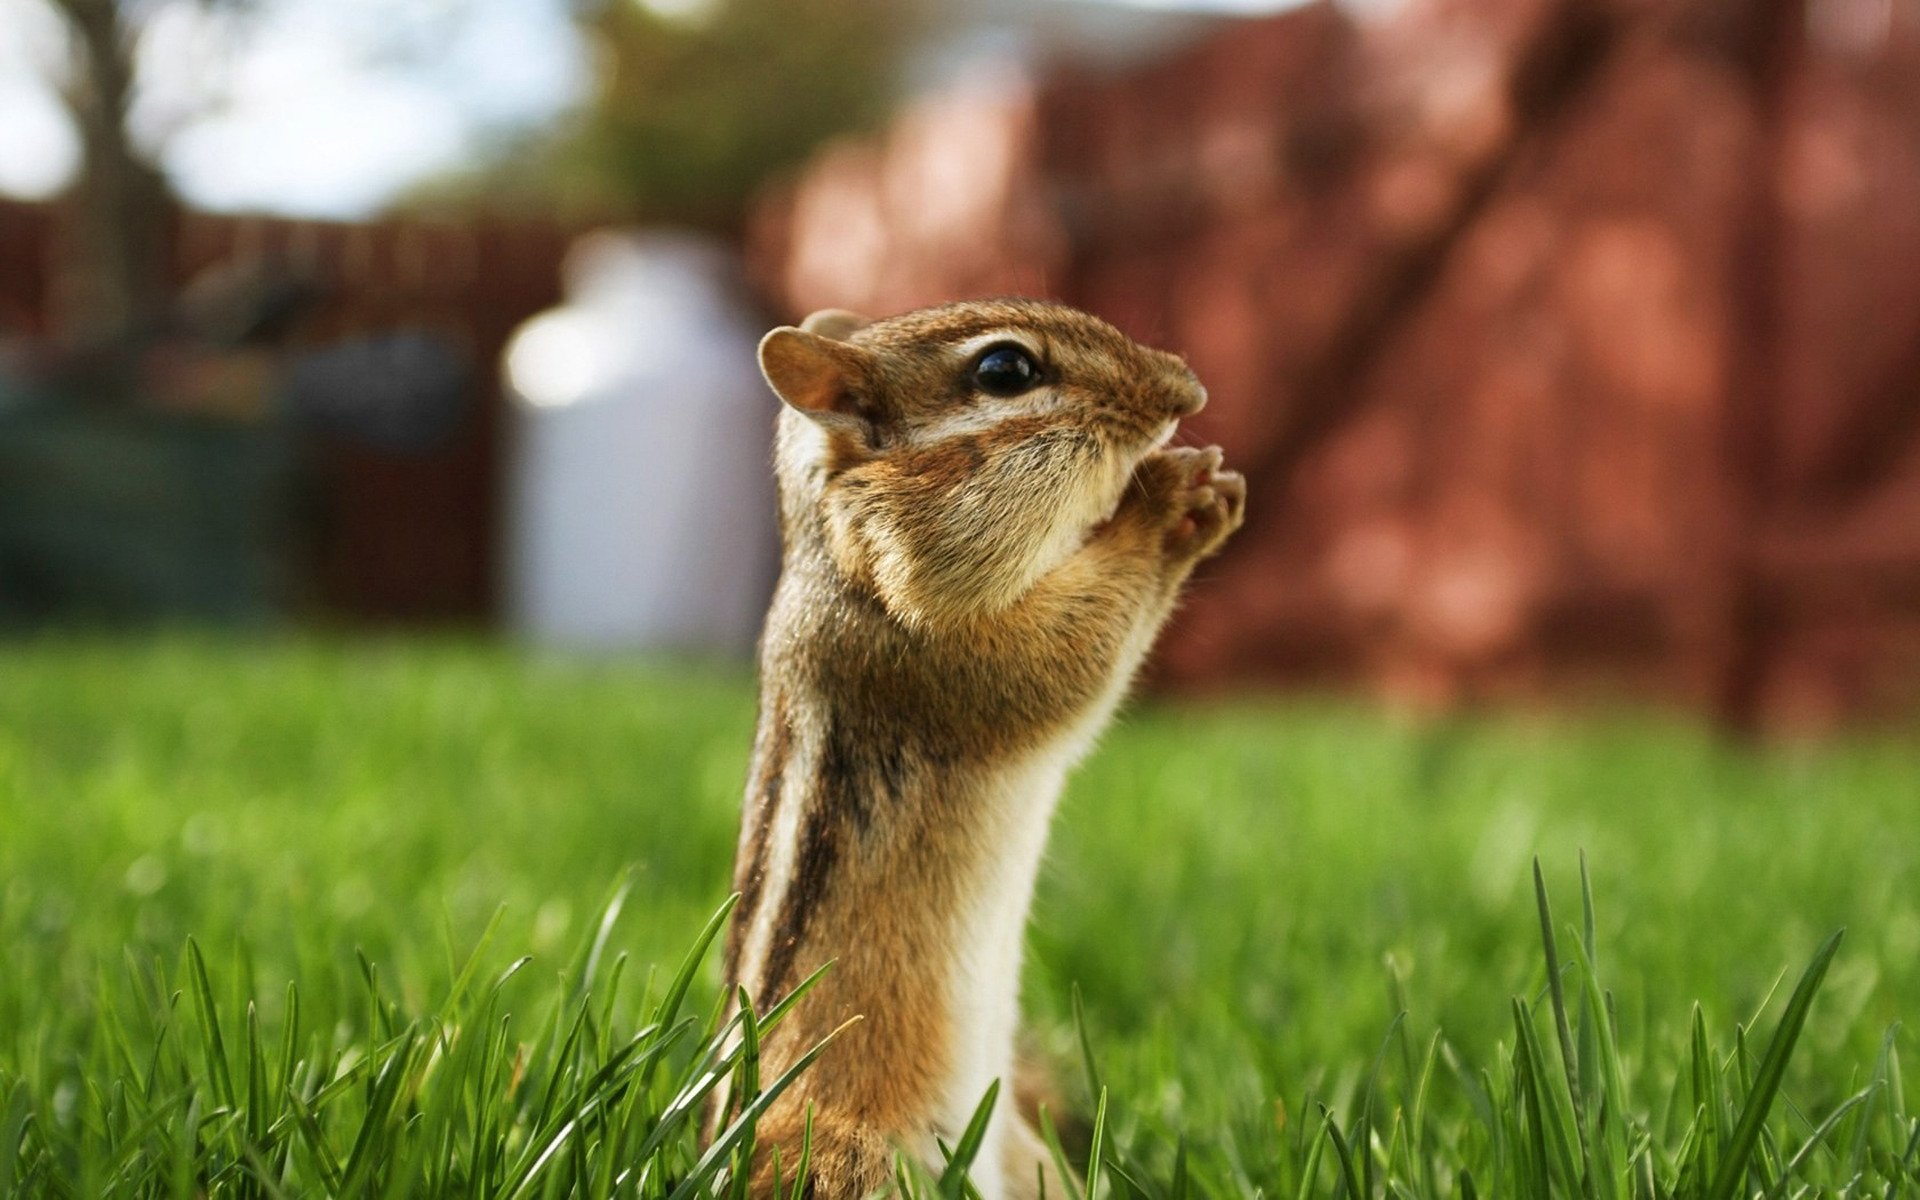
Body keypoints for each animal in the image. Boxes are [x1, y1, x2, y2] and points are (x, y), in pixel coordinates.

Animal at [716, 298, 1245, 1198]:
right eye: (1006, 371)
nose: (1189, 388)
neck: (843, 557)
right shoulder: (937, 650)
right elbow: (1067, 661)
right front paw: (1172, 502)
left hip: (1030, 1161)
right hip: (855, 1161)